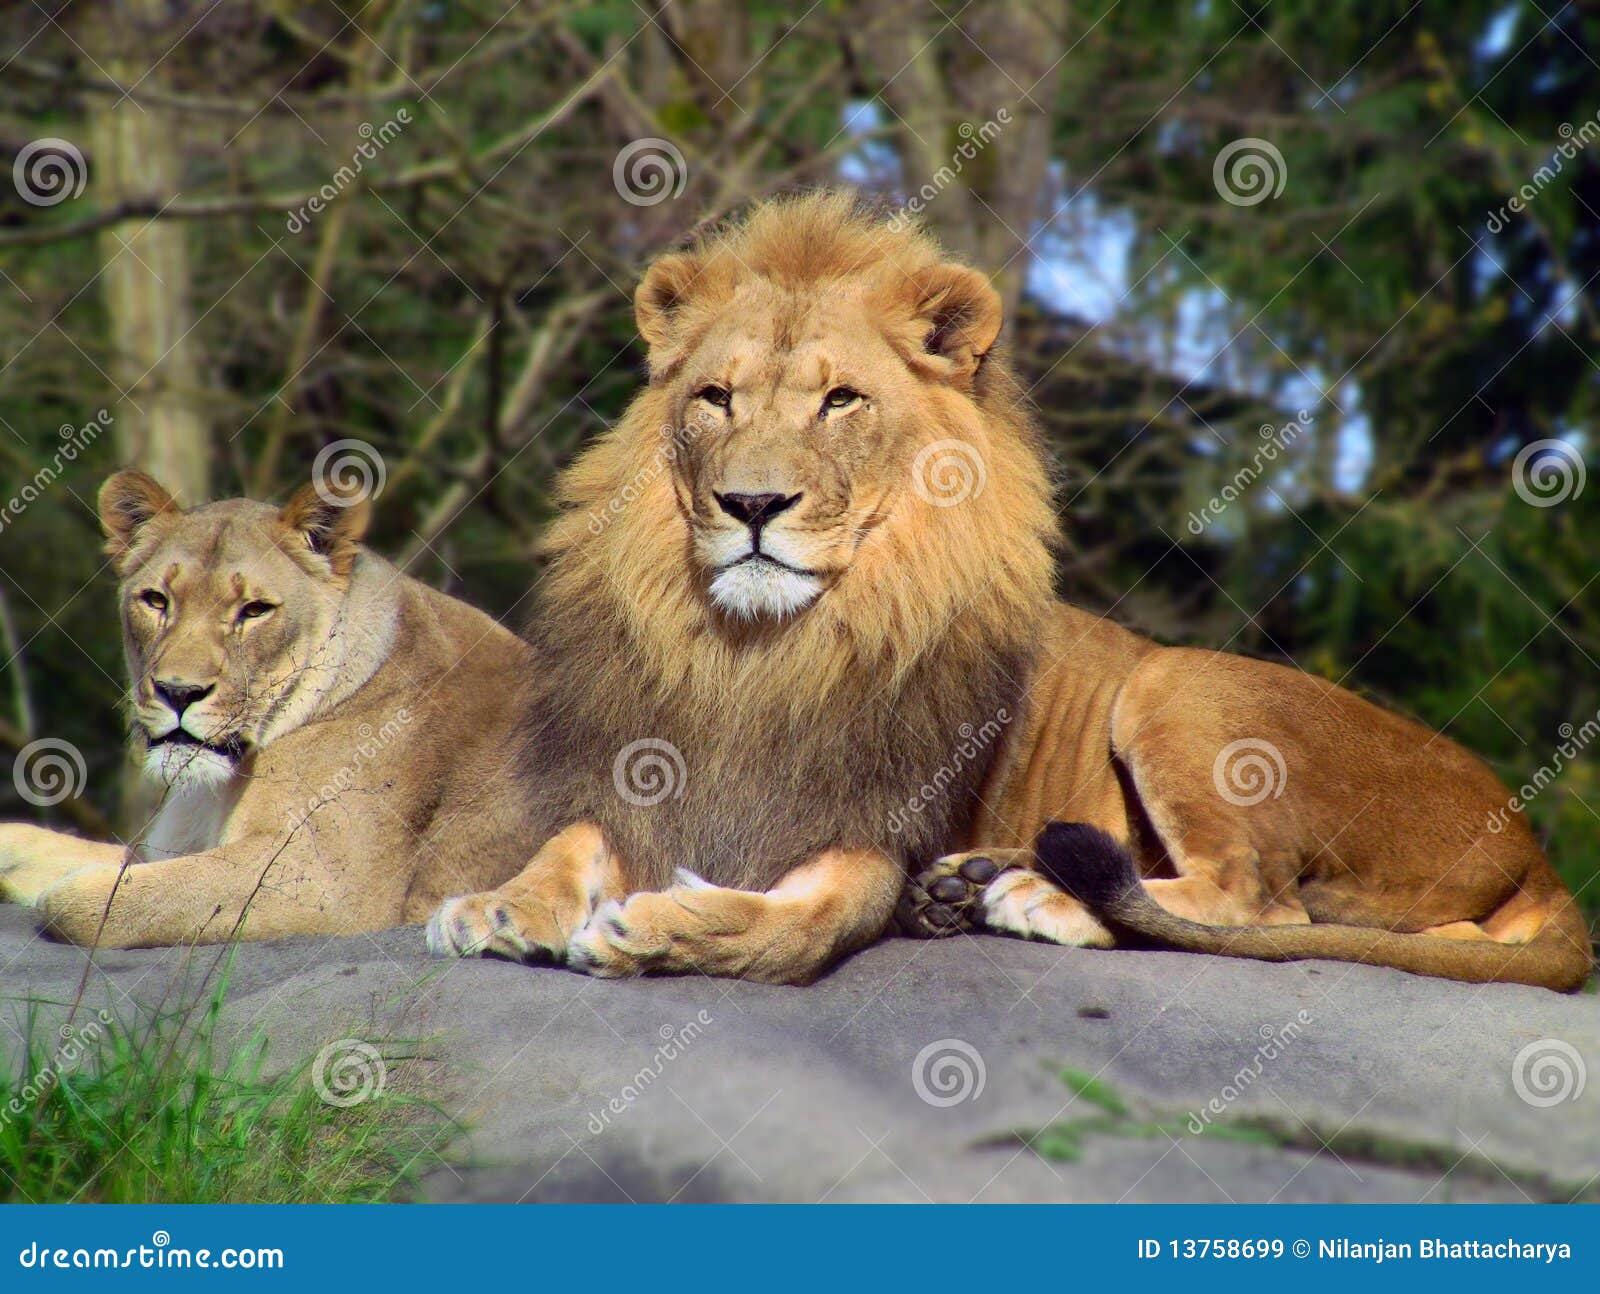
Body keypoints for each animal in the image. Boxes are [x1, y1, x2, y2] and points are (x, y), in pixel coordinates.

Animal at [0, 470, 542, 946]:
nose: (179, 692)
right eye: (156, 600)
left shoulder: (325, 883)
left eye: (255, 610)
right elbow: (30, 839)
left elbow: (96, 900)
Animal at [428, 192, 1590, 991]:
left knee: (1266, 908)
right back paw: (975, 884)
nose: (751, 502)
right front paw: (498, 906)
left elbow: (789, 926)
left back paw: (1038, 895)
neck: (759, 649)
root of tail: (1532, 847)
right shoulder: (642, 779)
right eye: (714, 398)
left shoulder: (864, 839)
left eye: (840, 400)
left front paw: (658, 929)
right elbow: (567, 844)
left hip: (1176, 685)